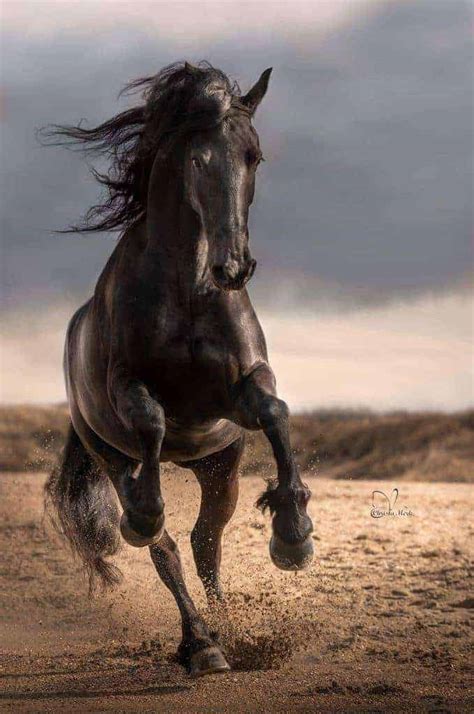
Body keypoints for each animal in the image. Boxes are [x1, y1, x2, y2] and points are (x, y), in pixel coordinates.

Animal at [44, 61, 314, 677]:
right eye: (196, 160)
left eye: (254, 156)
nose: (233, 268)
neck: (190, 290)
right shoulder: (129, 388)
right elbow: (151, 421)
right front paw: (141, 513)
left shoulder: (238, 391)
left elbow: (275, 409)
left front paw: (293, 534)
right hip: (108, 449)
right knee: (165, 546)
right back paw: (202, 642)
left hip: (220, 465)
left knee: (204, 542)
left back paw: (229, 631)